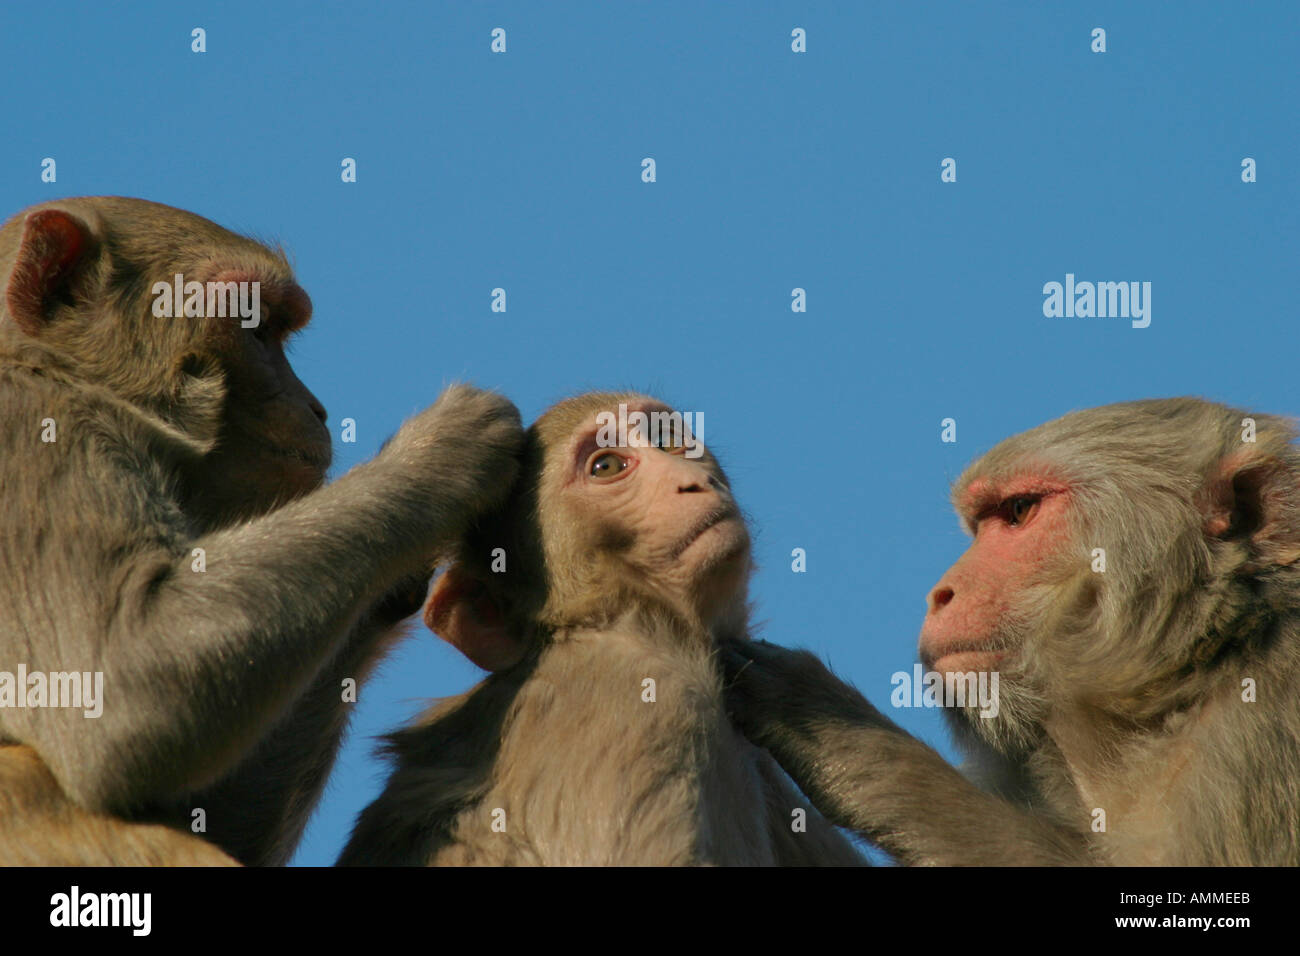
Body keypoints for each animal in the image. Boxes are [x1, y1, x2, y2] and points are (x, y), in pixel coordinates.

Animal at [0, 196, 524, 866]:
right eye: (254, 326)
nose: (316, 406)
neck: (45, 370)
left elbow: (209, 814)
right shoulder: (37, 436)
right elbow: (118, 696)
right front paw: (439, 454)